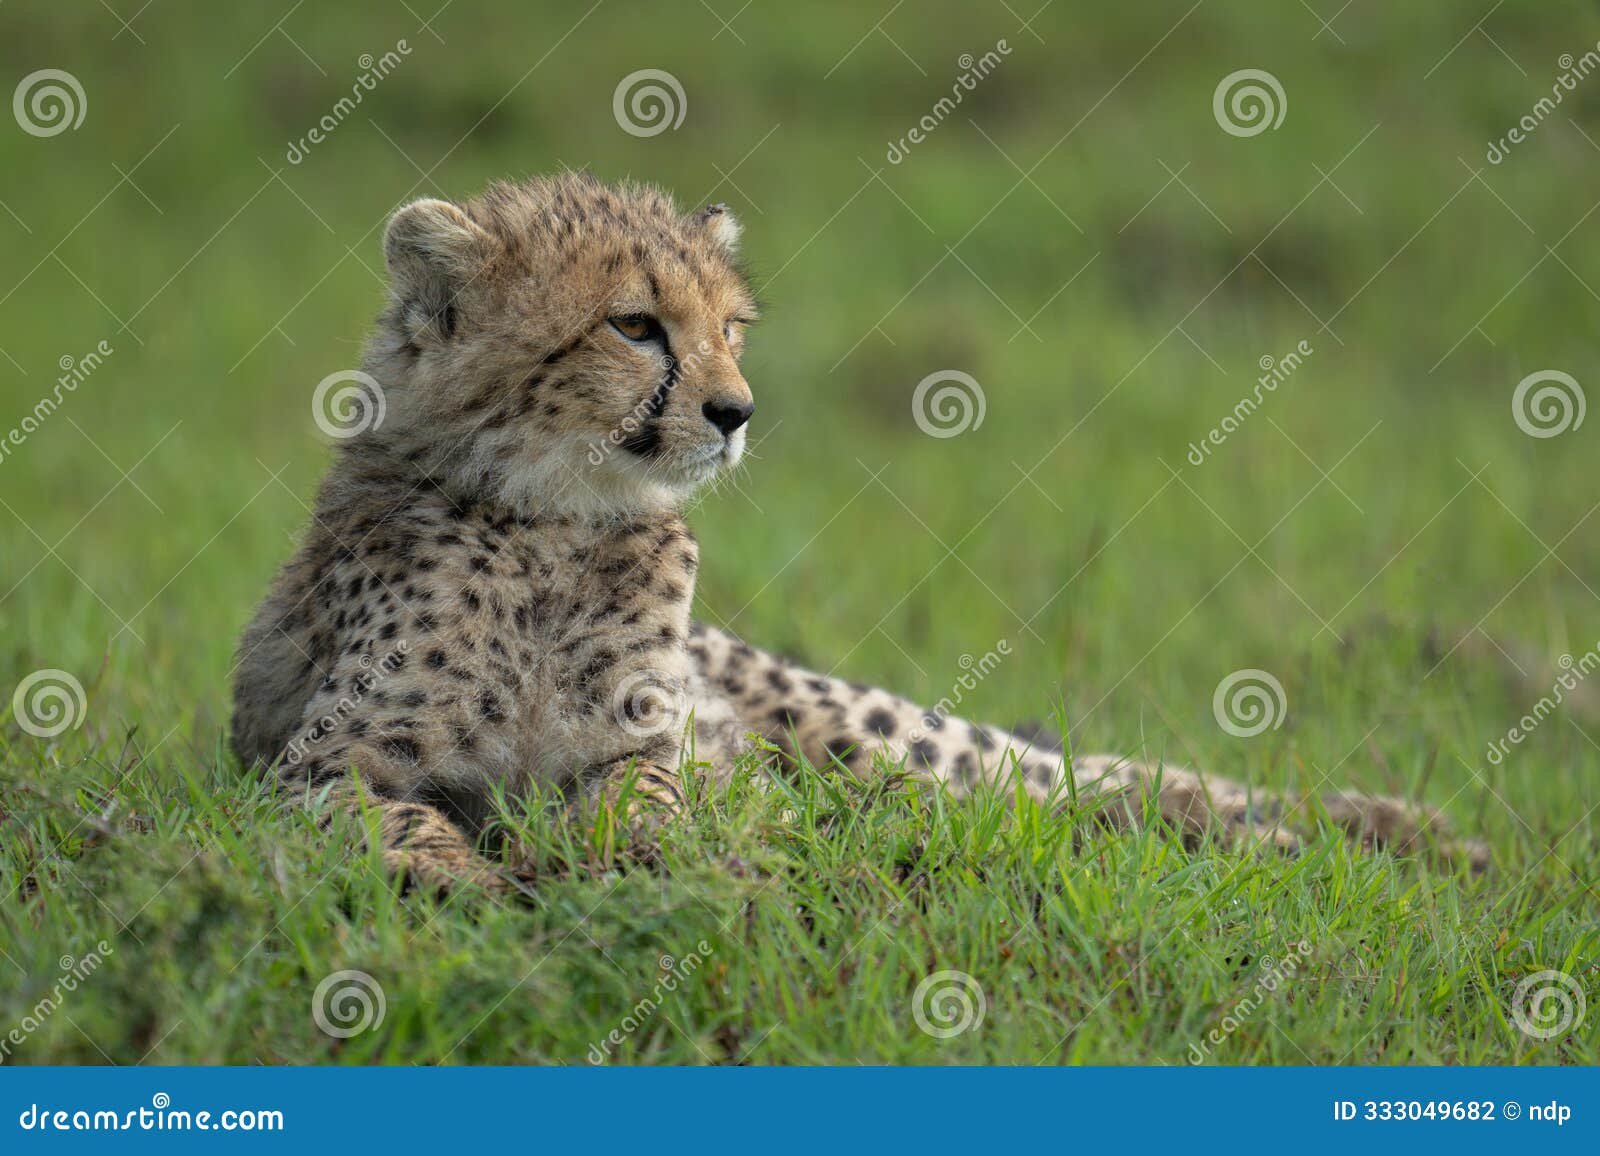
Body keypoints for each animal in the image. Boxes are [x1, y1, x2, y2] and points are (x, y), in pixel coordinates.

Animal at [231, 172, 1486, 896]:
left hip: (873, 739)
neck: (554, 522)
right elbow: (387, 819)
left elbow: (648, 796)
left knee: (1090, 785)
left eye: (731, 328)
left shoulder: (642, 743)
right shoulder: (308, 764)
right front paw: (467, 885)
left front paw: (647, 864)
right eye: (635, 326)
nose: (735, 412)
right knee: (1093, 804)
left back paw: (1398, 837)